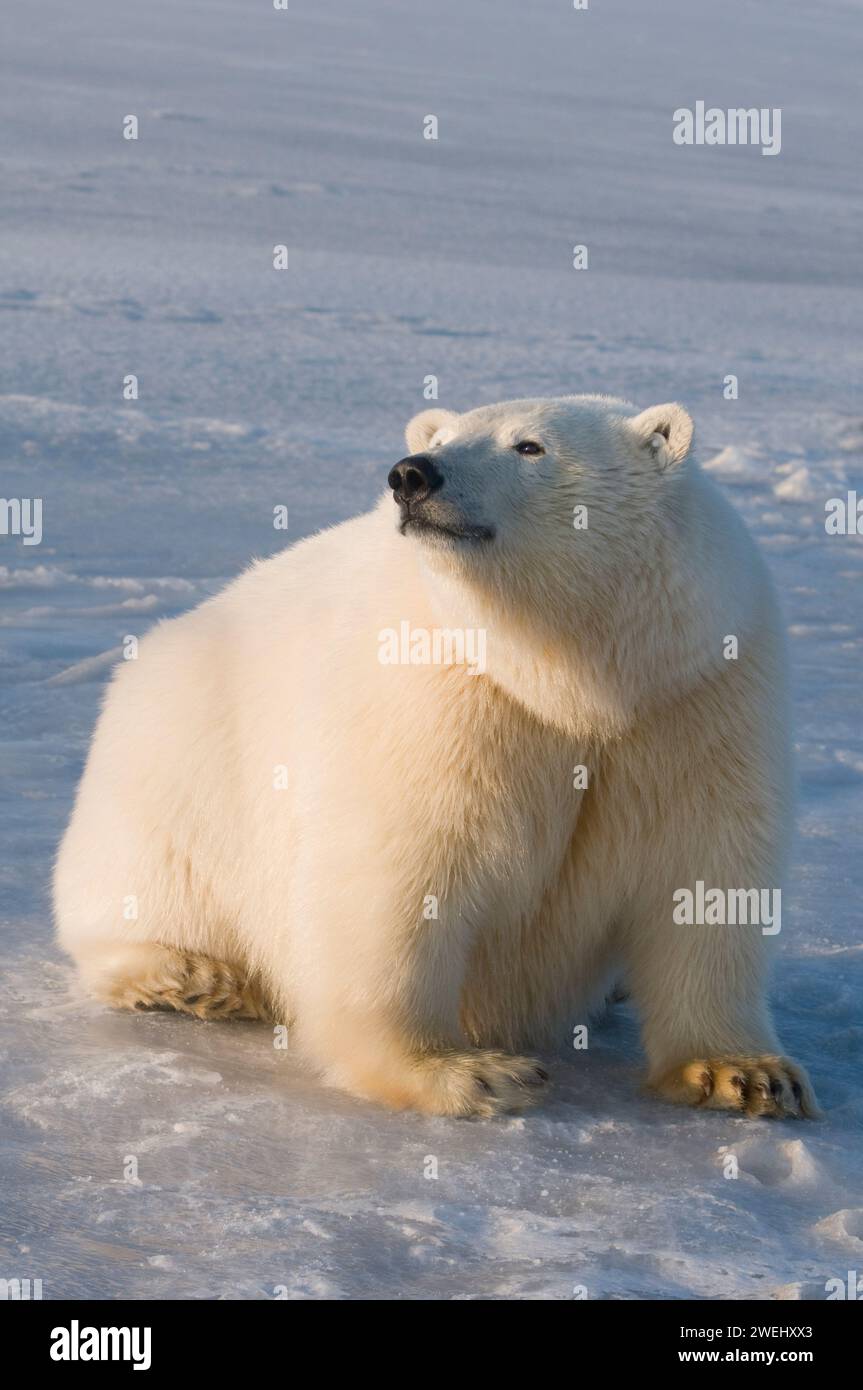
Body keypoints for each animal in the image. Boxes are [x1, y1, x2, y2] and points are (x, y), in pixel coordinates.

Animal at [54, 395, 817, 1120]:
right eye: (441, 439)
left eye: (529, 445)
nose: (411, 475)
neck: (575, 677)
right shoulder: (437, 694)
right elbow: (399, 865)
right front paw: (469, 1073)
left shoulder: (695, 692)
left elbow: (705, 868)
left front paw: (746, 1075)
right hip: (170, 782)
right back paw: (193, 978)